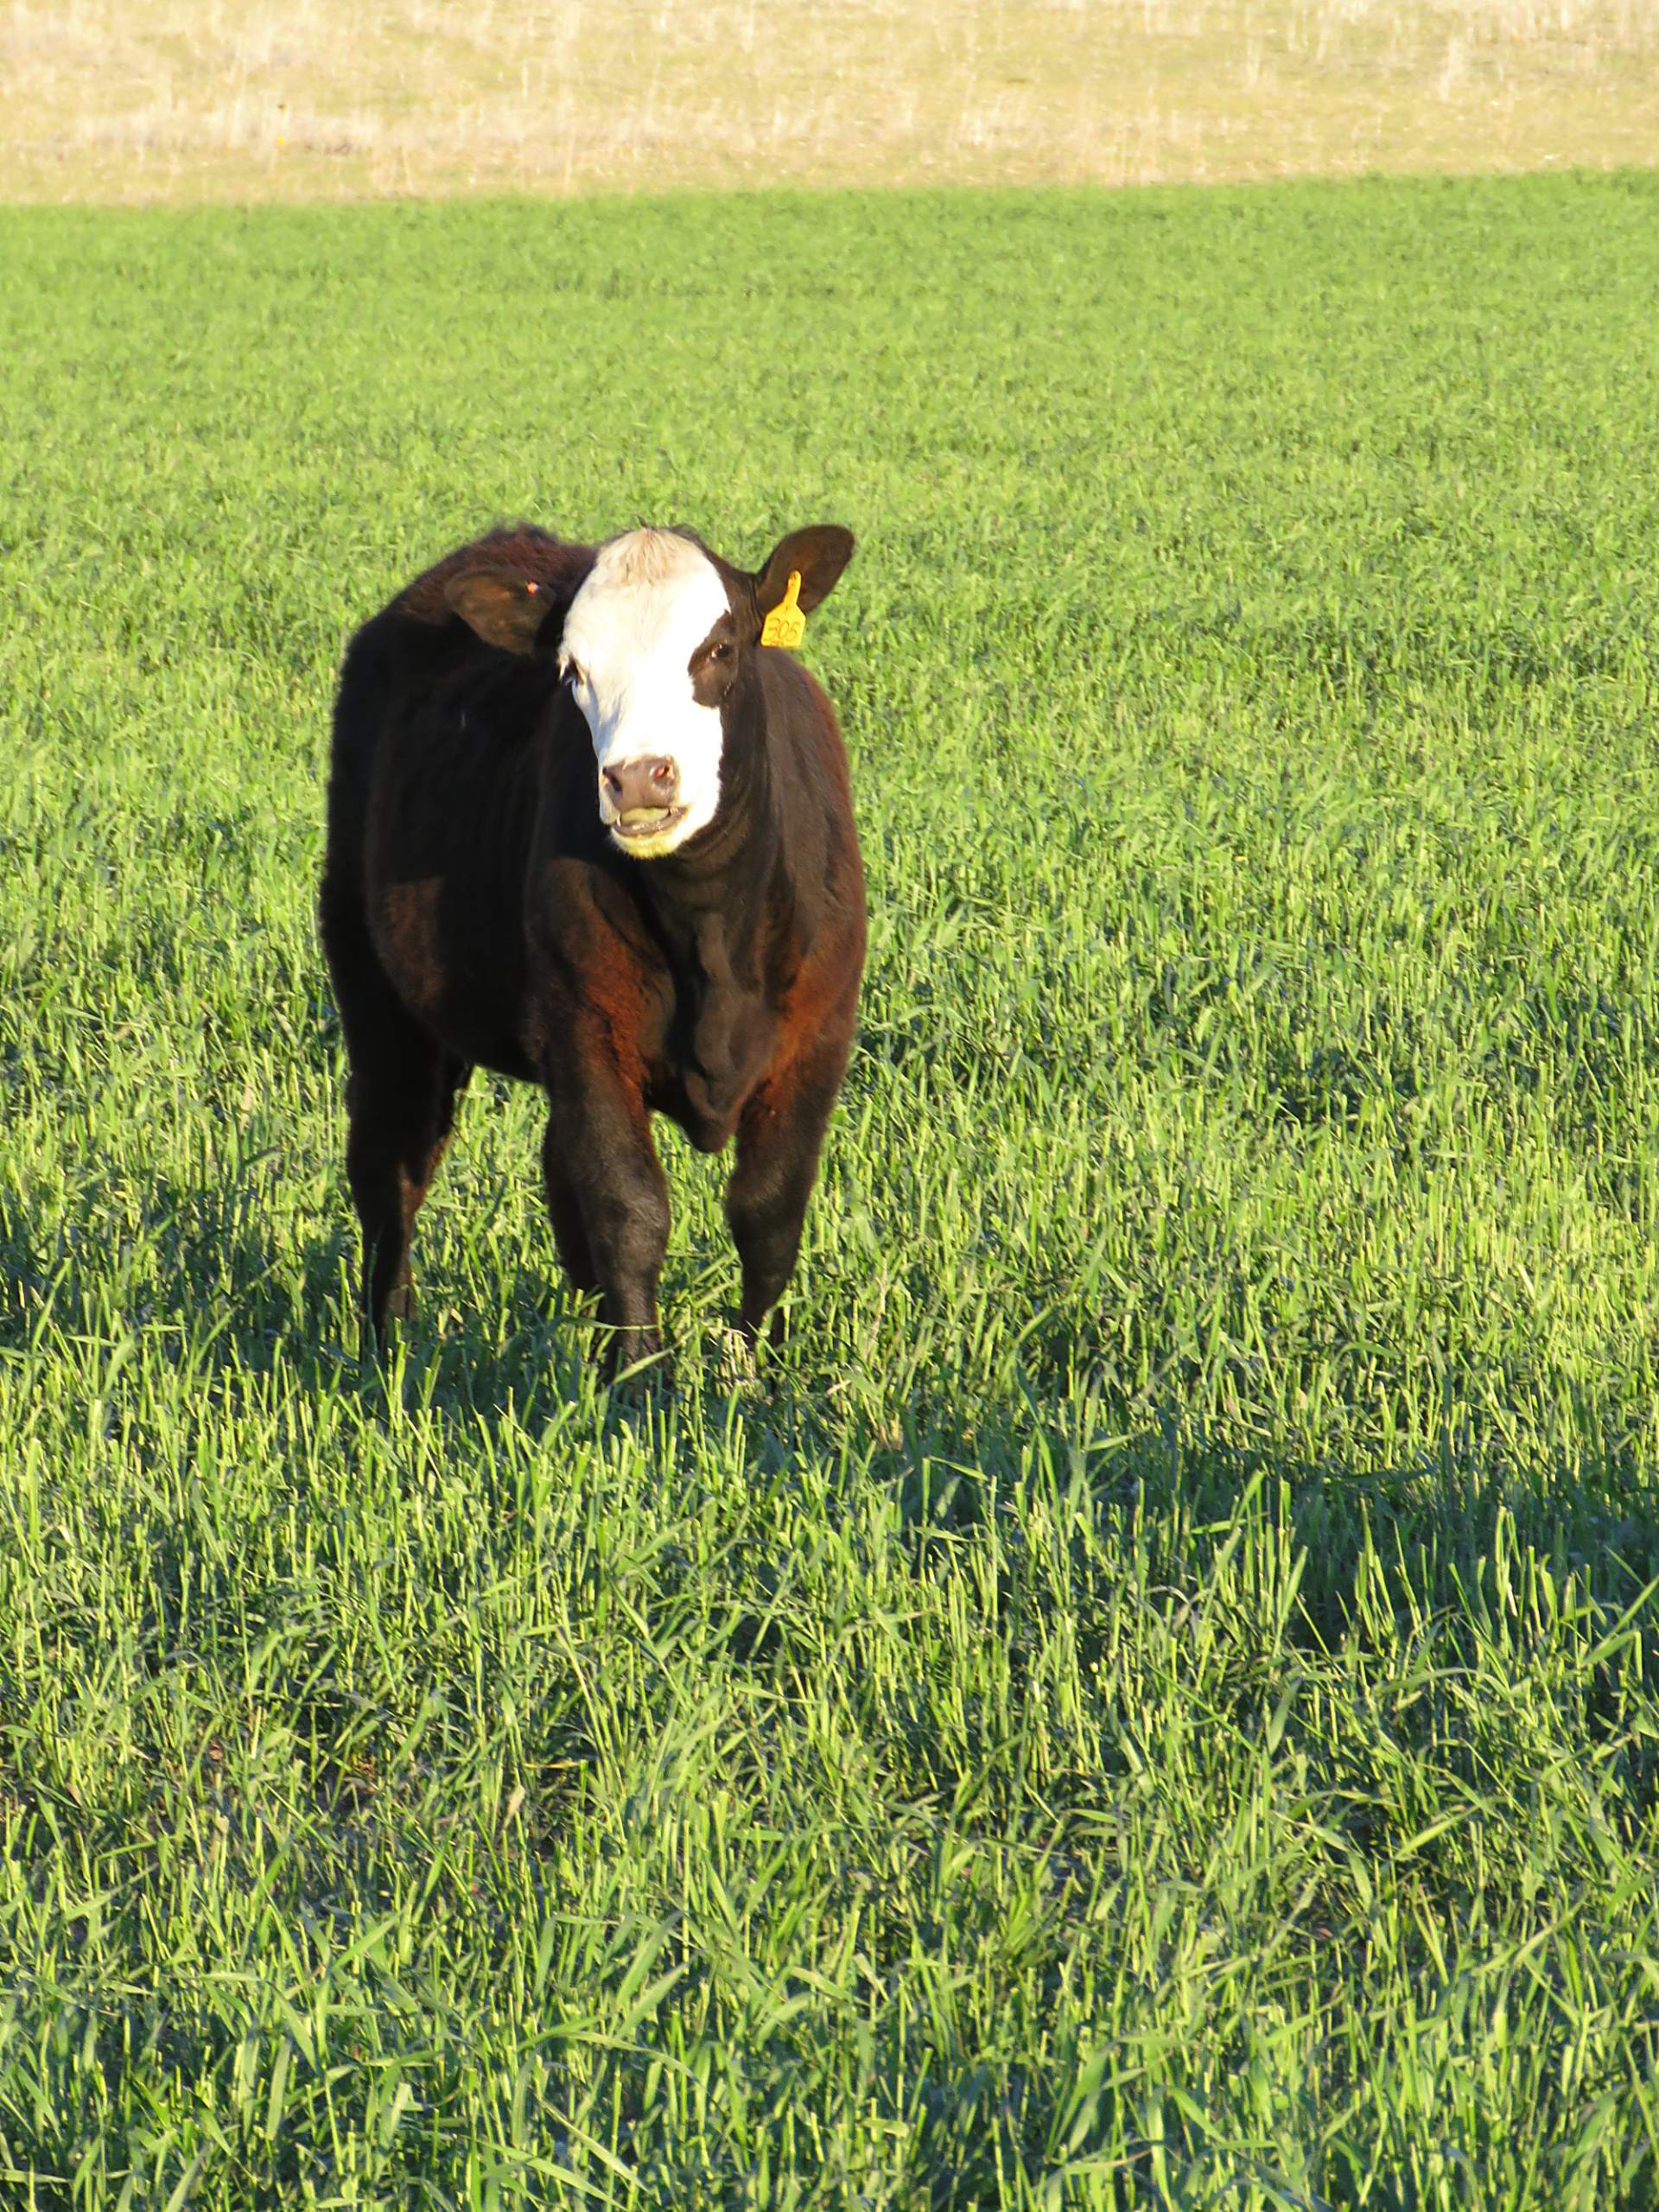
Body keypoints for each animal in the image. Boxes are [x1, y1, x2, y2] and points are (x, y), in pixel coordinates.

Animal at [318, 520, 865, 1382]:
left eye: (718, 649)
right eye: (572, 670)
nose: (639, 779)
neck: (711, 928)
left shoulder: (817, 1036)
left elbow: (769, 1213)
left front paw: (758, 1376)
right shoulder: (588, 1031)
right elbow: (628, 1208)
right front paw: (642, 1382)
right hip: (375, 983)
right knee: (391, 1165)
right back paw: (387, 1345)